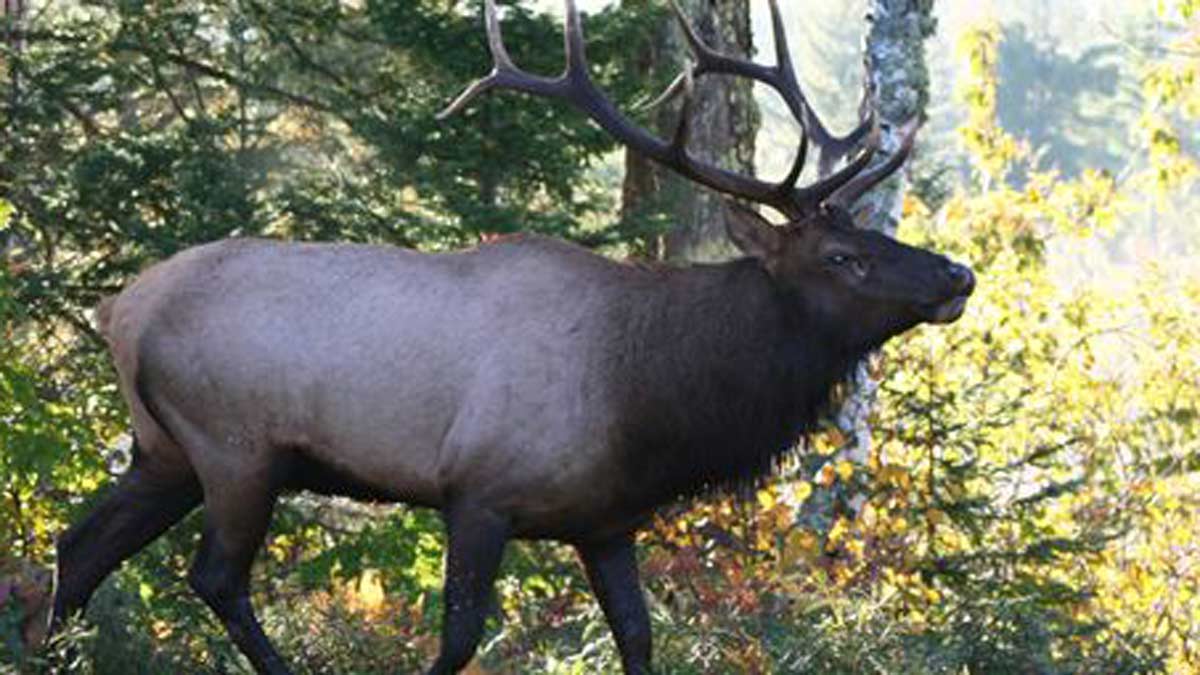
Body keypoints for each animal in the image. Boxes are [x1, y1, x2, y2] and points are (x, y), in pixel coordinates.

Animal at [47, 1, 974, 673]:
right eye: (844, 256)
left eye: (868, 234)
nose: (958, 275)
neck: (649, 400)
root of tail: (119, 311)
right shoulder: (479, 490)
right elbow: (458, 640)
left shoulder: (606, 521)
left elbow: (639, 638)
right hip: (236, 444)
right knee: (214, 576)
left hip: (164, 450)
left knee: (78, 546)